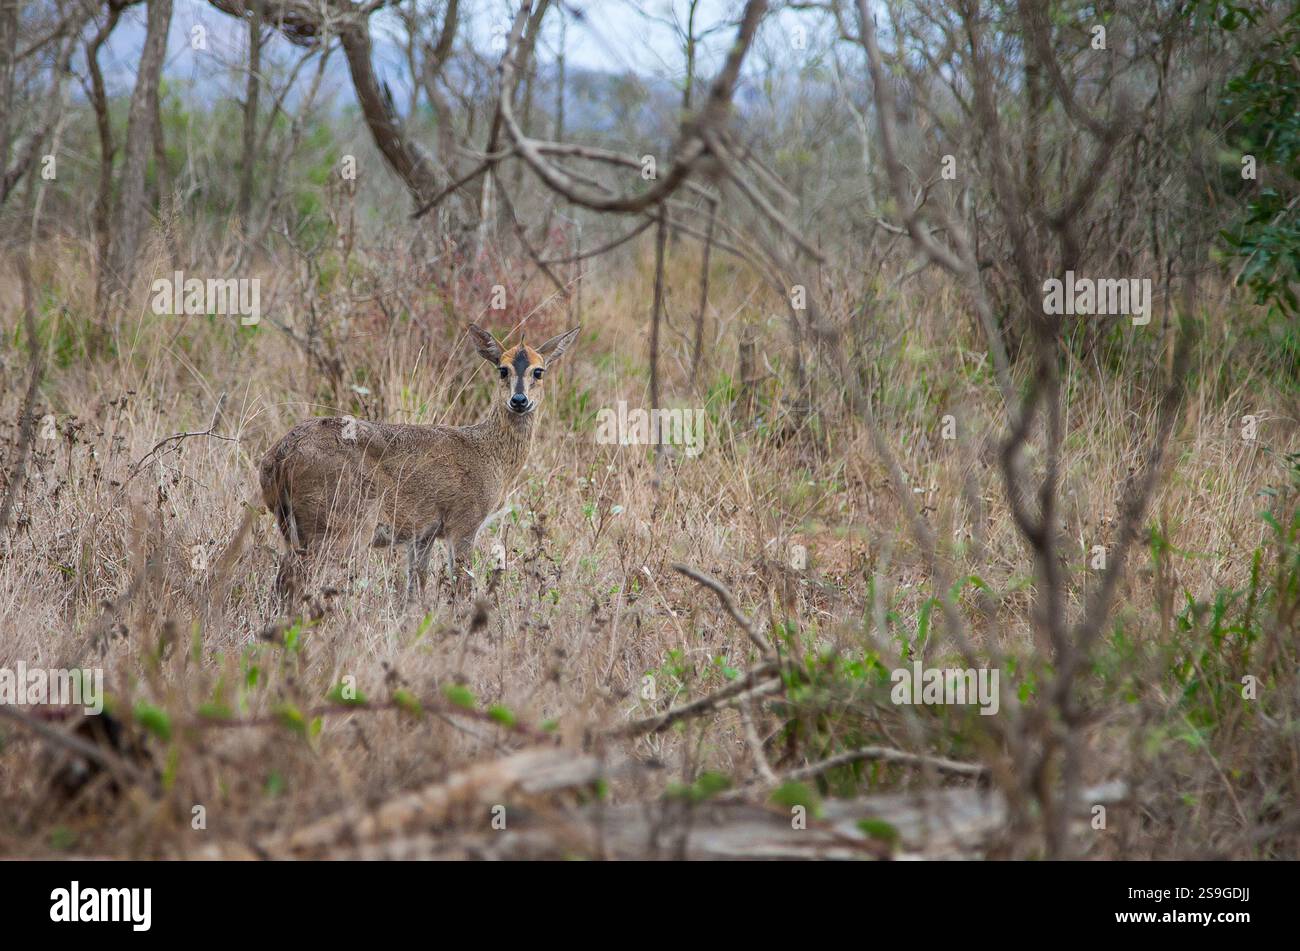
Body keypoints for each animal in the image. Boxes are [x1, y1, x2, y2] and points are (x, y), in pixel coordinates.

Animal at [259, 323, 580, 605]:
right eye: (503, 369)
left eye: (539, 370)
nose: (519, 400)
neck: (491, 456)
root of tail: (278, 457)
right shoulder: (463, 522)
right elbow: (462, 585)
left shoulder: (422, 535)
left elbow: (416, 589)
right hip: (339, 524)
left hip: (293, 528)